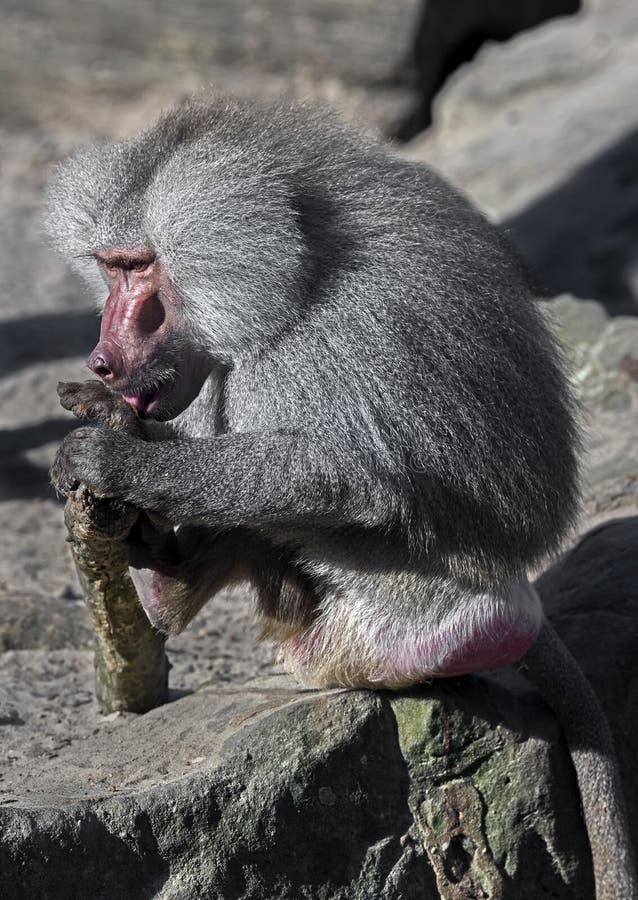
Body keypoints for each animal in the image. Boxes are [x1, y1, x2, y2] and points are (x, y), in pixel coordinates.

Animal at [45, 97, 634, 898]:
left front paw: (112, 454)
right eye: (109, 268)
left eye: (140, 269)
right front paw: (109, 418)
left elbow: (338, 475)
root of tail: (519, 597)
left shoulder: (315, 344)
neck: (294, 267)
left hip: (396, 599)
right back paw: (164, 579)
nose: (101, 359)